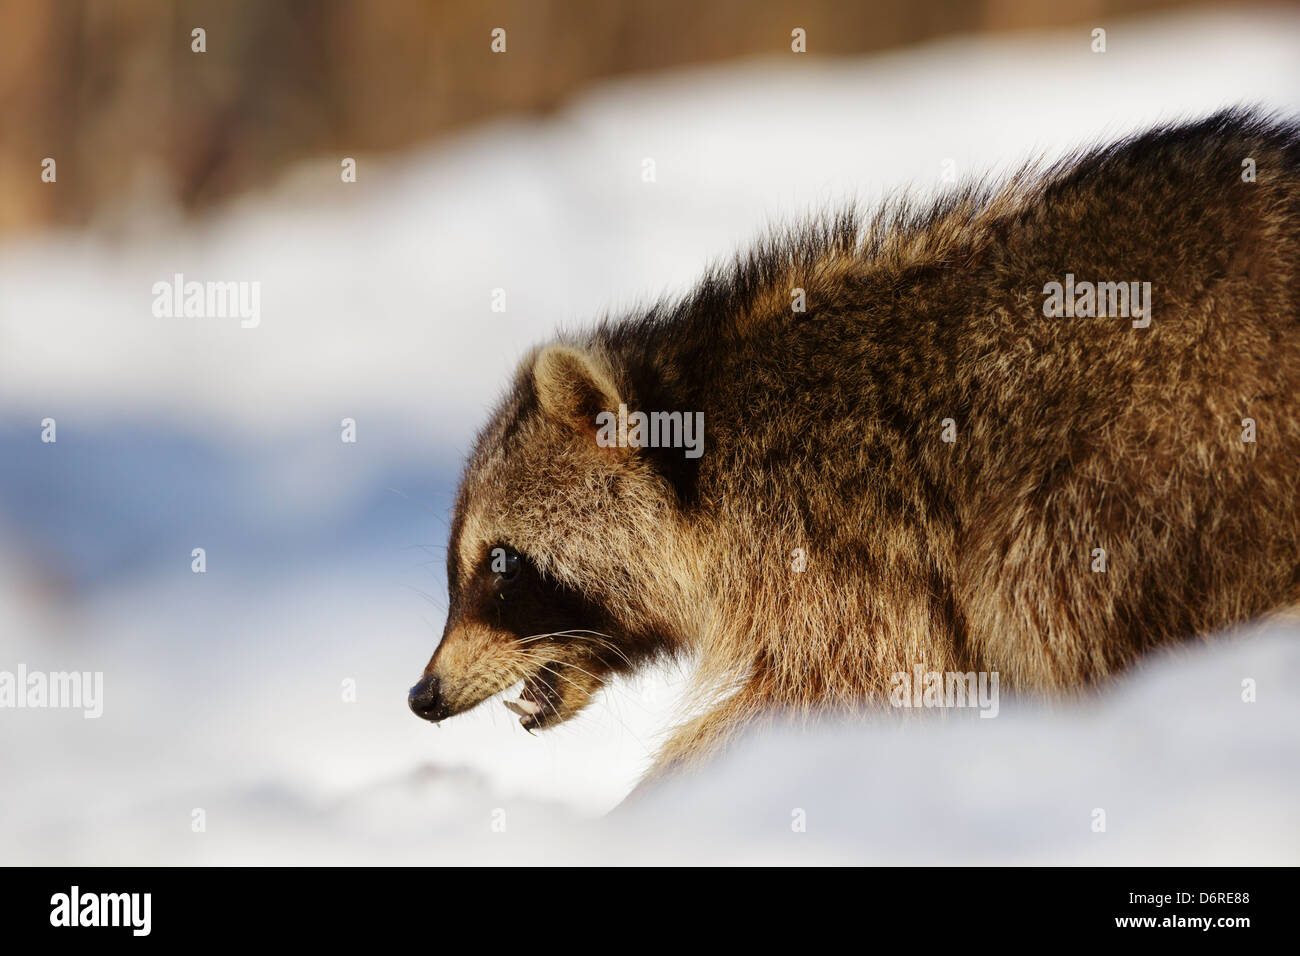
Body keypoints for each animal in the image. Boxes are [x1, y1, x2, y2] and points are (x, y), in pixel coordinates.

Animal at [409, 108, 1300, 784]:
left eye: (501, 563)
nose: (423, 696)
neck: (699, 431)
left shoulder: (831, 550)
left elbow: (839, 686)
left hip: (1158, 454)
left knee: (1049, 585)